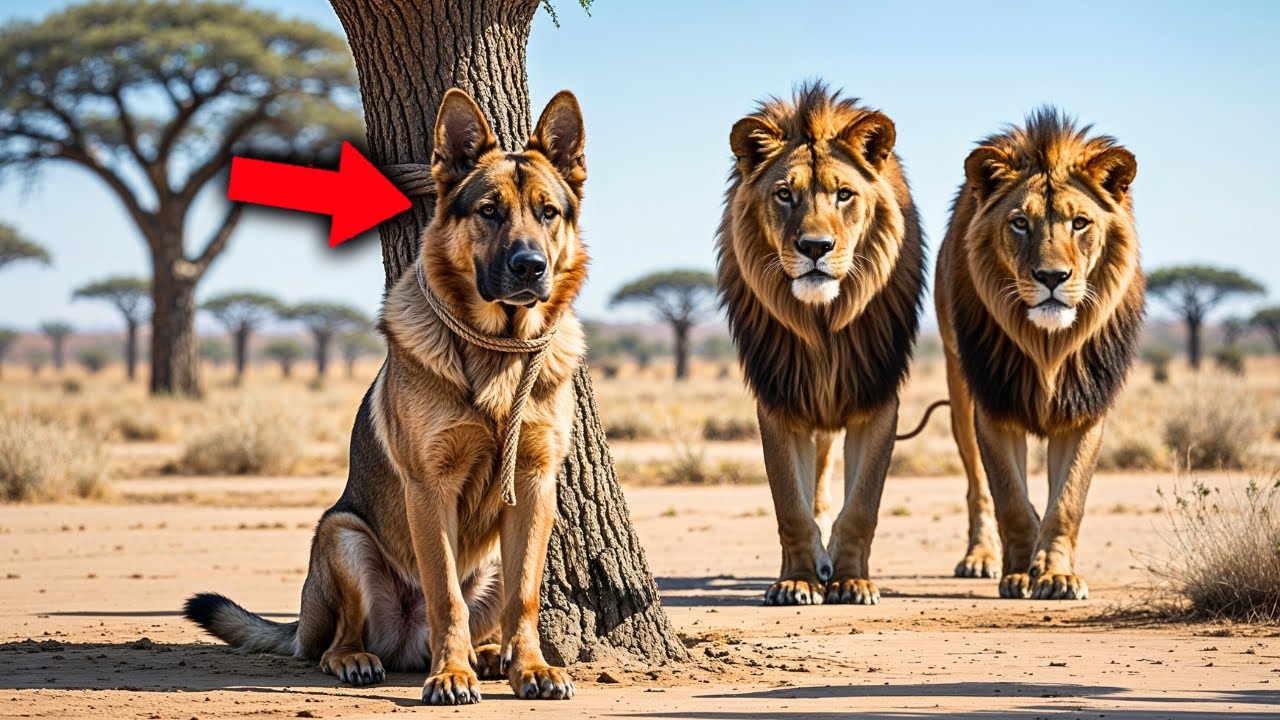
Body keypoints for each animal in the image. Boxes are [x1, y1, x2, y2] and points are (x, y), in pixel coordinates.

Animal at [717, 82, 925, 605]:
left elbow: (862, 506)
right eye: (784, 194)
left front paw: (852, 580)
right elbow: (791, 505)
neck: (823, 325)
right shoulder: (778, 399)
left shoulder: (877, 396)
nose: (814, 247)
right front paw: (798, 579)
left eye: (844, 194)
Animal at [935, 107, 1143, 599]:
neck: (1047, 344)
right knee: (978, 487)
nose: (1052, 277)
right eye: (1019, 223)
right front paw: (1017, 574)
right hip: (958, 388)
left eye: (1080, 223)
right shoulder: (993, 404)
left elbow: (1066, 501)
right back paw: (981, 557)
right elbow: (1010, 498)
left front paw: (1055, 573)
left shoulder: (1085, 406)